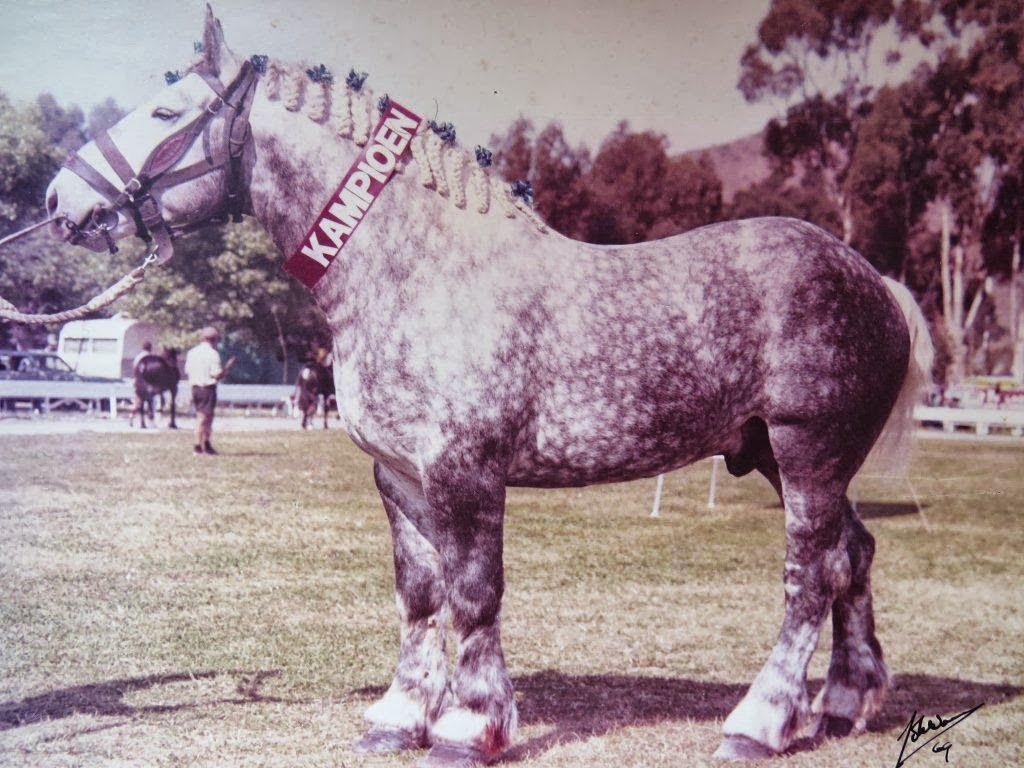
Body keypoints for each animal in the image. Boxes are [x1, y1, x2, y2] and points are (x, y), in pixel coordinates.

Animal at [43, 10, 934, 765]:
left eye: (166, 112)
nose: (61, 199)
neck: (414, 266)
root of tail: (875, 281)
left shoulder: (465, 471)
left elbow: (474, 593)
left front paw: (469, 727)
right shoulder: (400, 475)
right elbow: (419, 593)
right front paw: (398, 717)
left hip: (808, 451)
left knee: (808, 575)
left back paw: (759, 723)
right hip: (785, 459)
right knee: (853, 554)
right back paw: (843, 704)